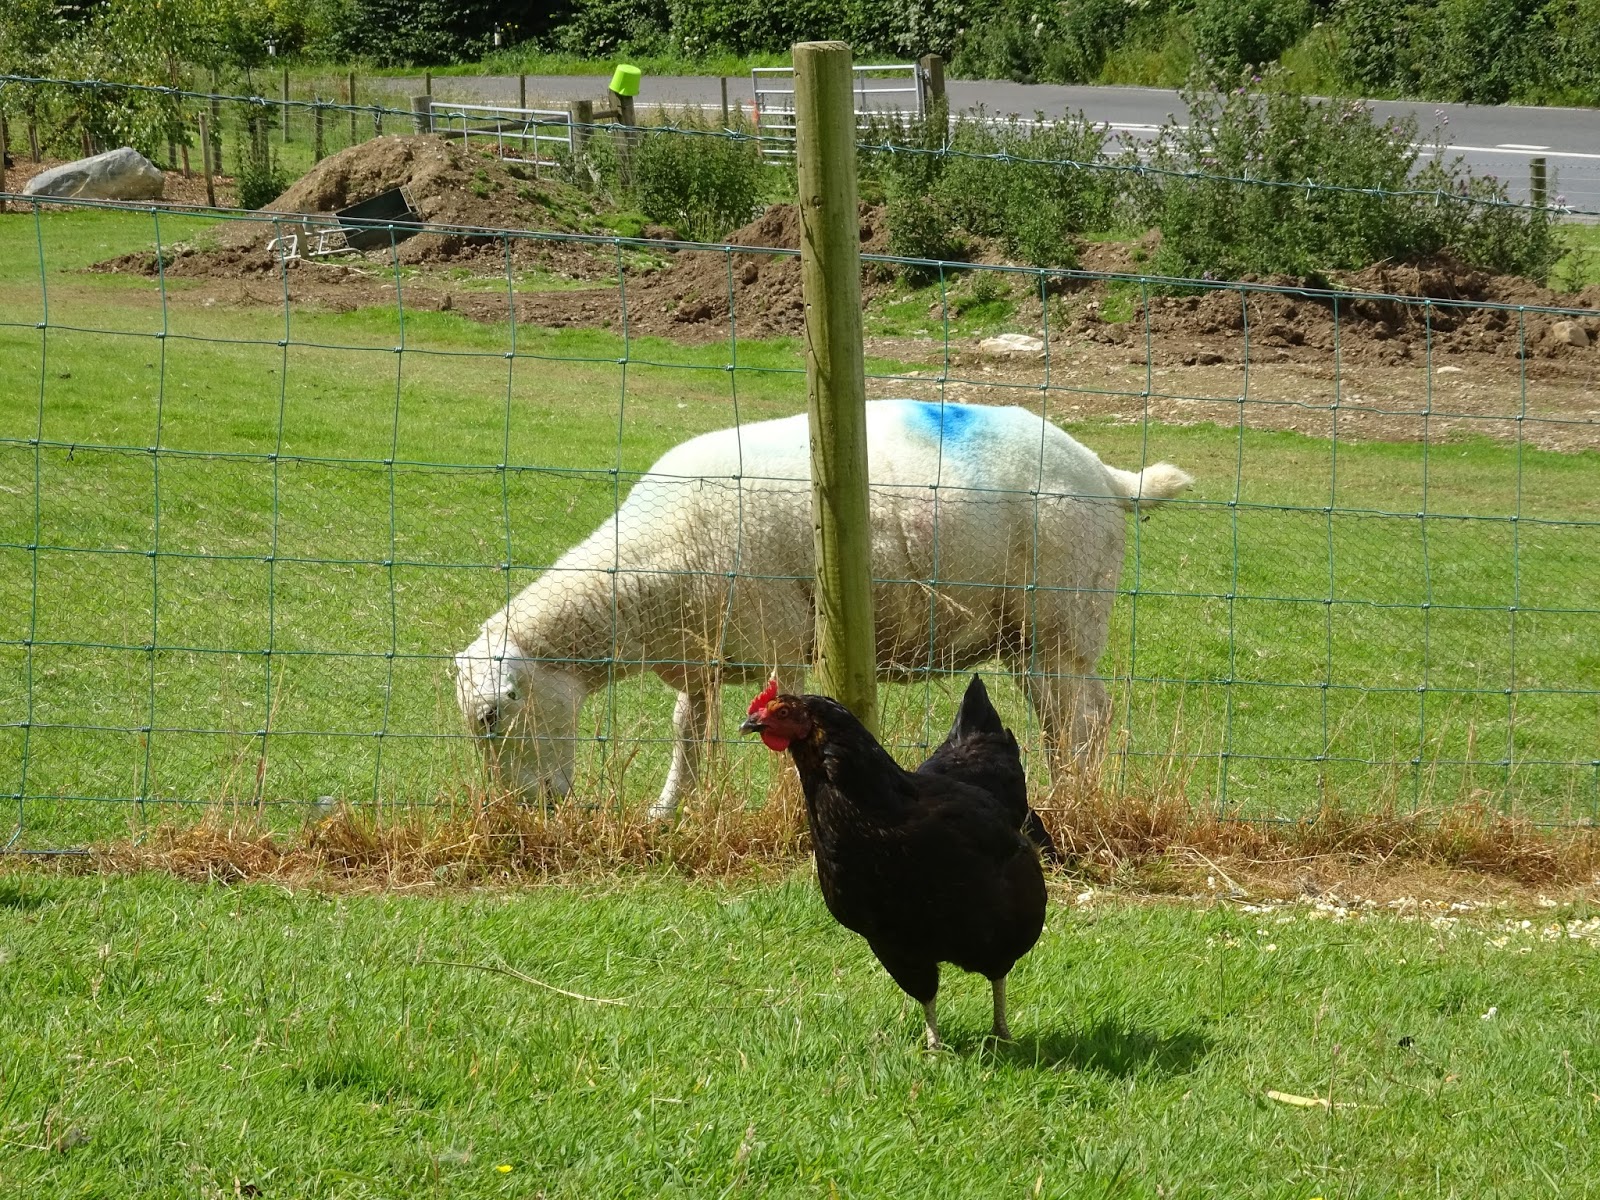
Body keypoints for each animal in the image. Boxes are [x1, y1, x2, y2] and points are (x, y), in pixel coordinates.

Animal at [455, 399, 1192, 817]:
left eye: (493, 717)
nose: (527, 812)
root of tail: (1107, 474)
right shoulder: (701, 658)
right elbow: (688, 737)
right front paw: (666, 812)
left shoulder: (781, 638)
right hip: (1045, 630)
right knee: (1083, 716)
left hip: (1057, 620)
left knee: (1081, 721)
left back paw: (1072, 799)